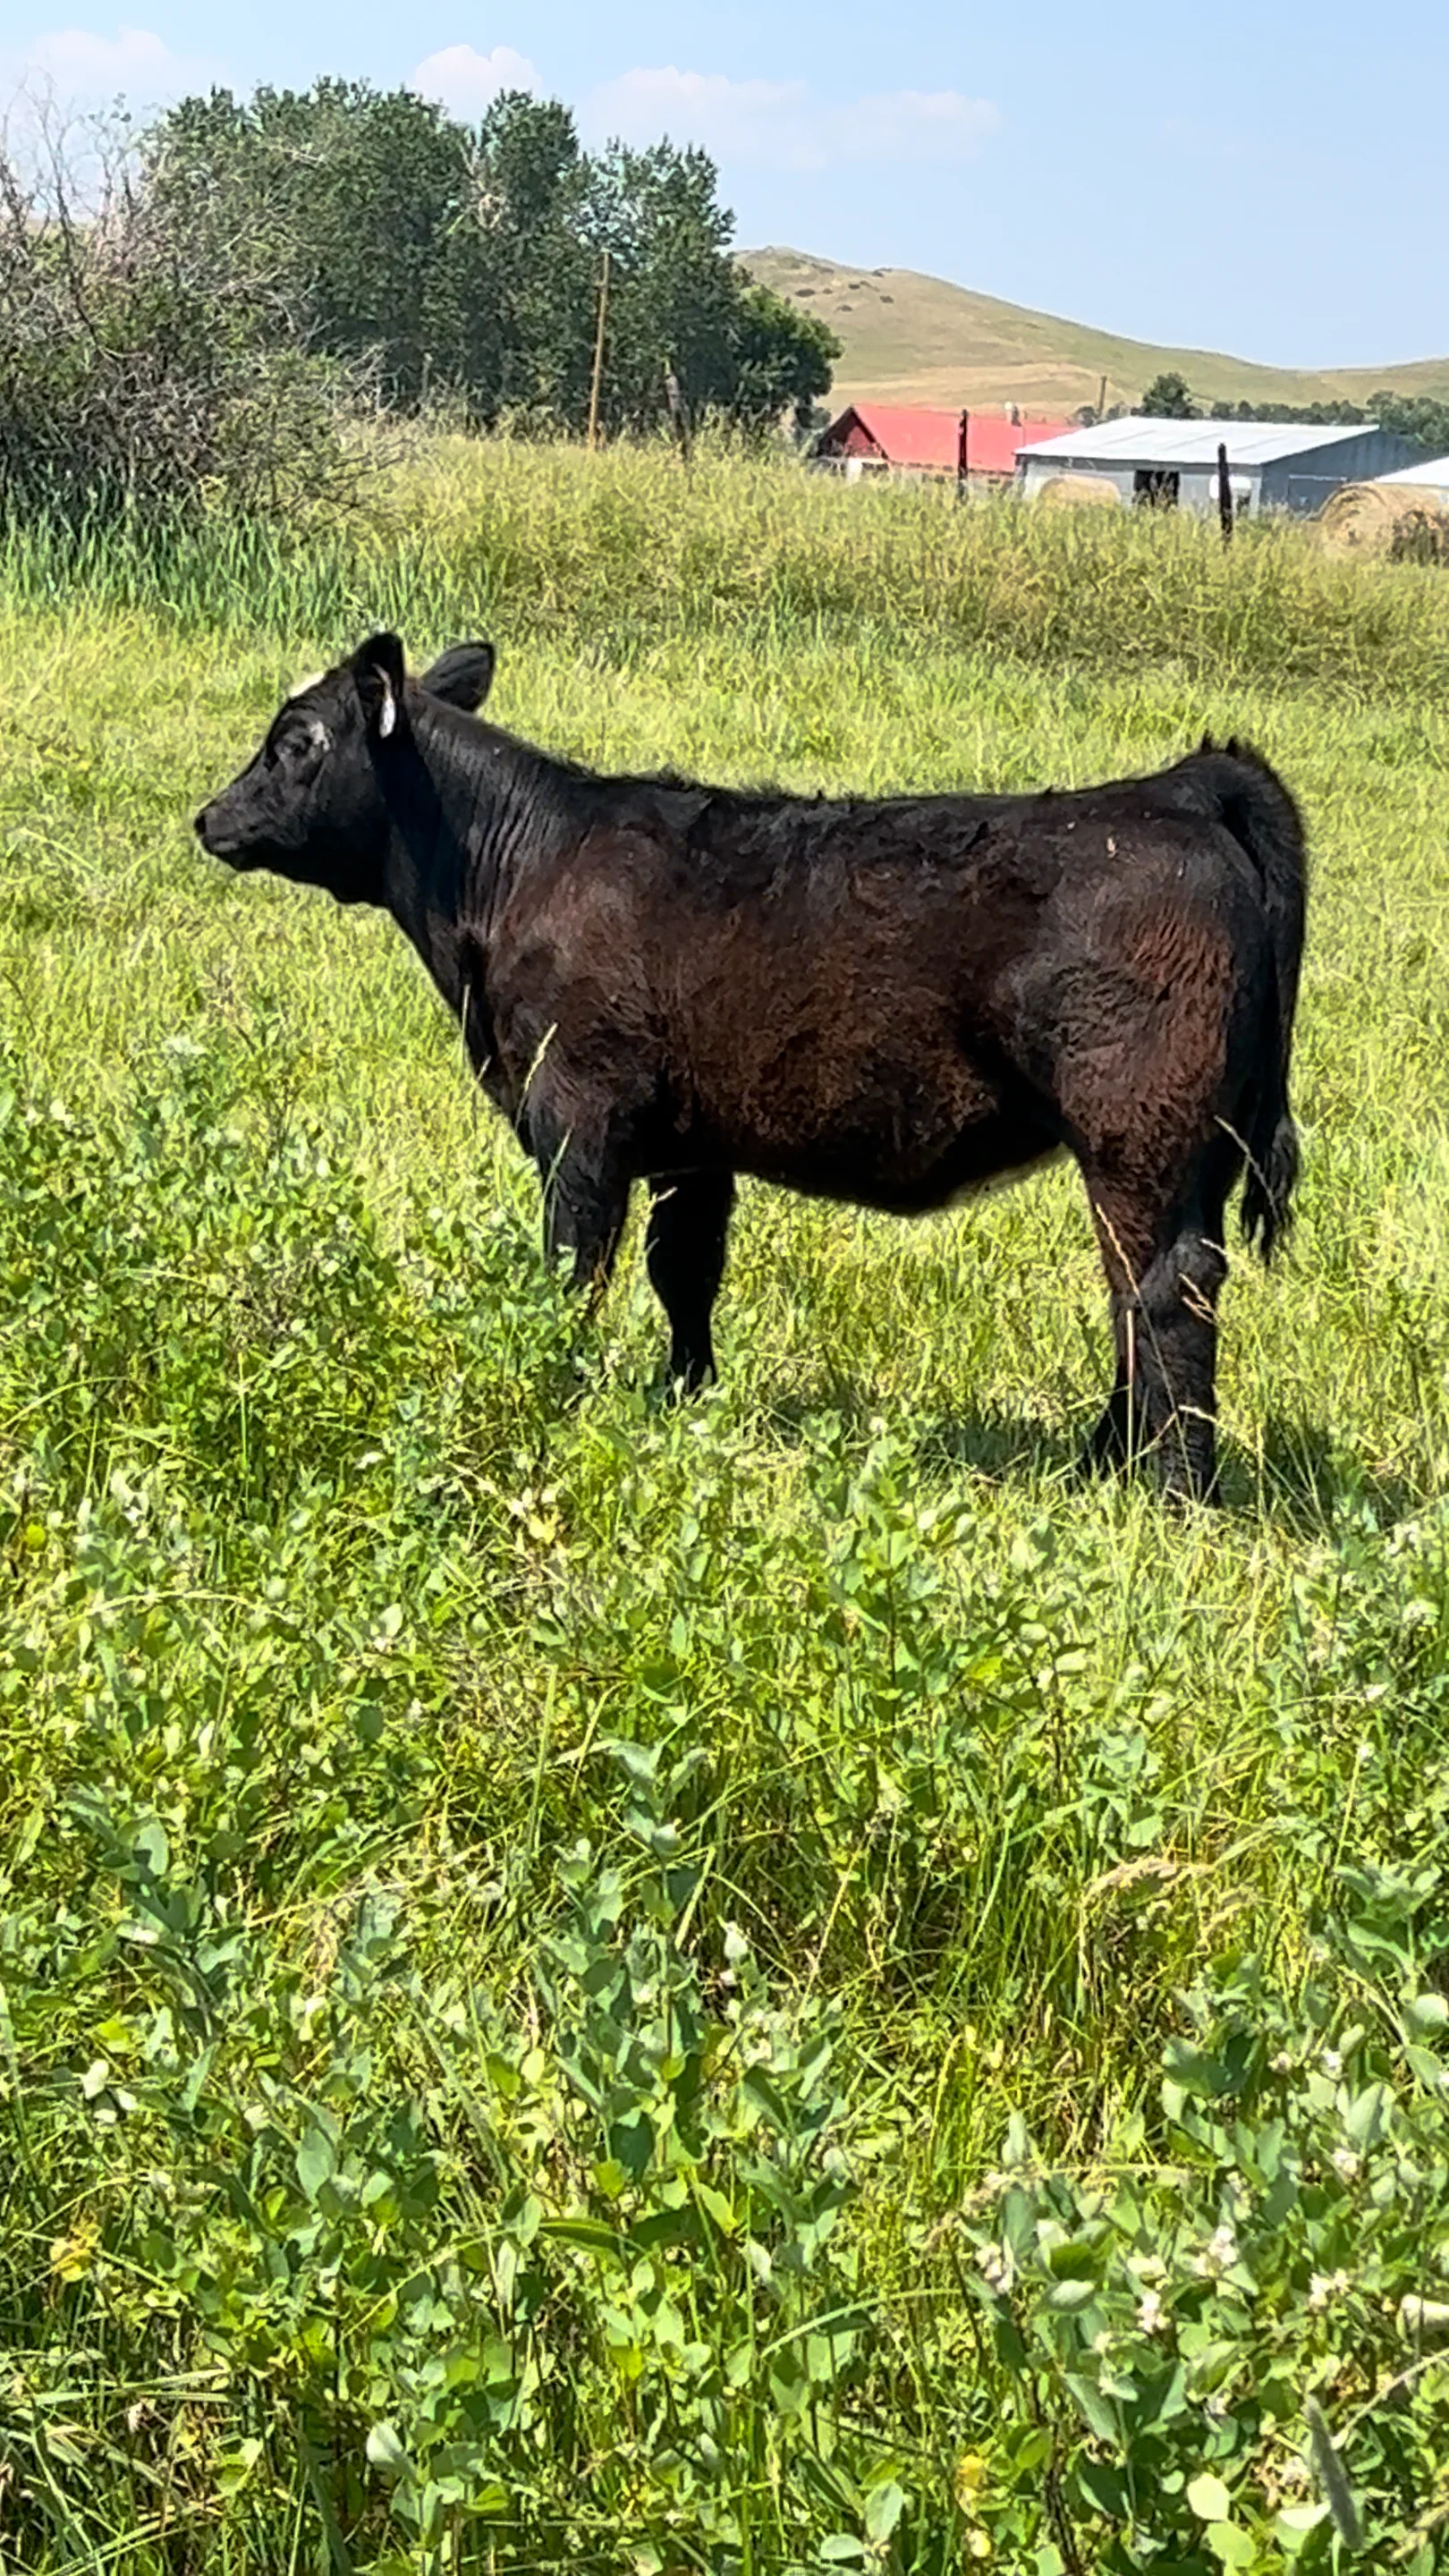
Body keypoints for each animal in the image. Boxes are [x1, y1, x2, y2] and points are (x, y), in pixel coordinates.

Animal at [195, 631, 1306, 1500]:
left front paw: (556, 1390)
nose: (209, 816)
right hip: (1194, 1150)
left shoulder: (579, 1120)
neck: (518, 867)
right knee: (1140, 1295)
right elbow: (683, 1271)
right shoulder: (693, 1147)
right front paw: (684, 1398)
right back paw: (1100, 1463)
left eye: (297, 742)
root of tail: (1177, 787)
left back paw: (1170, 1490)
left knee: (1164, 1290)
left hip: (1137, 1139)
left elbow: (574, 1269)